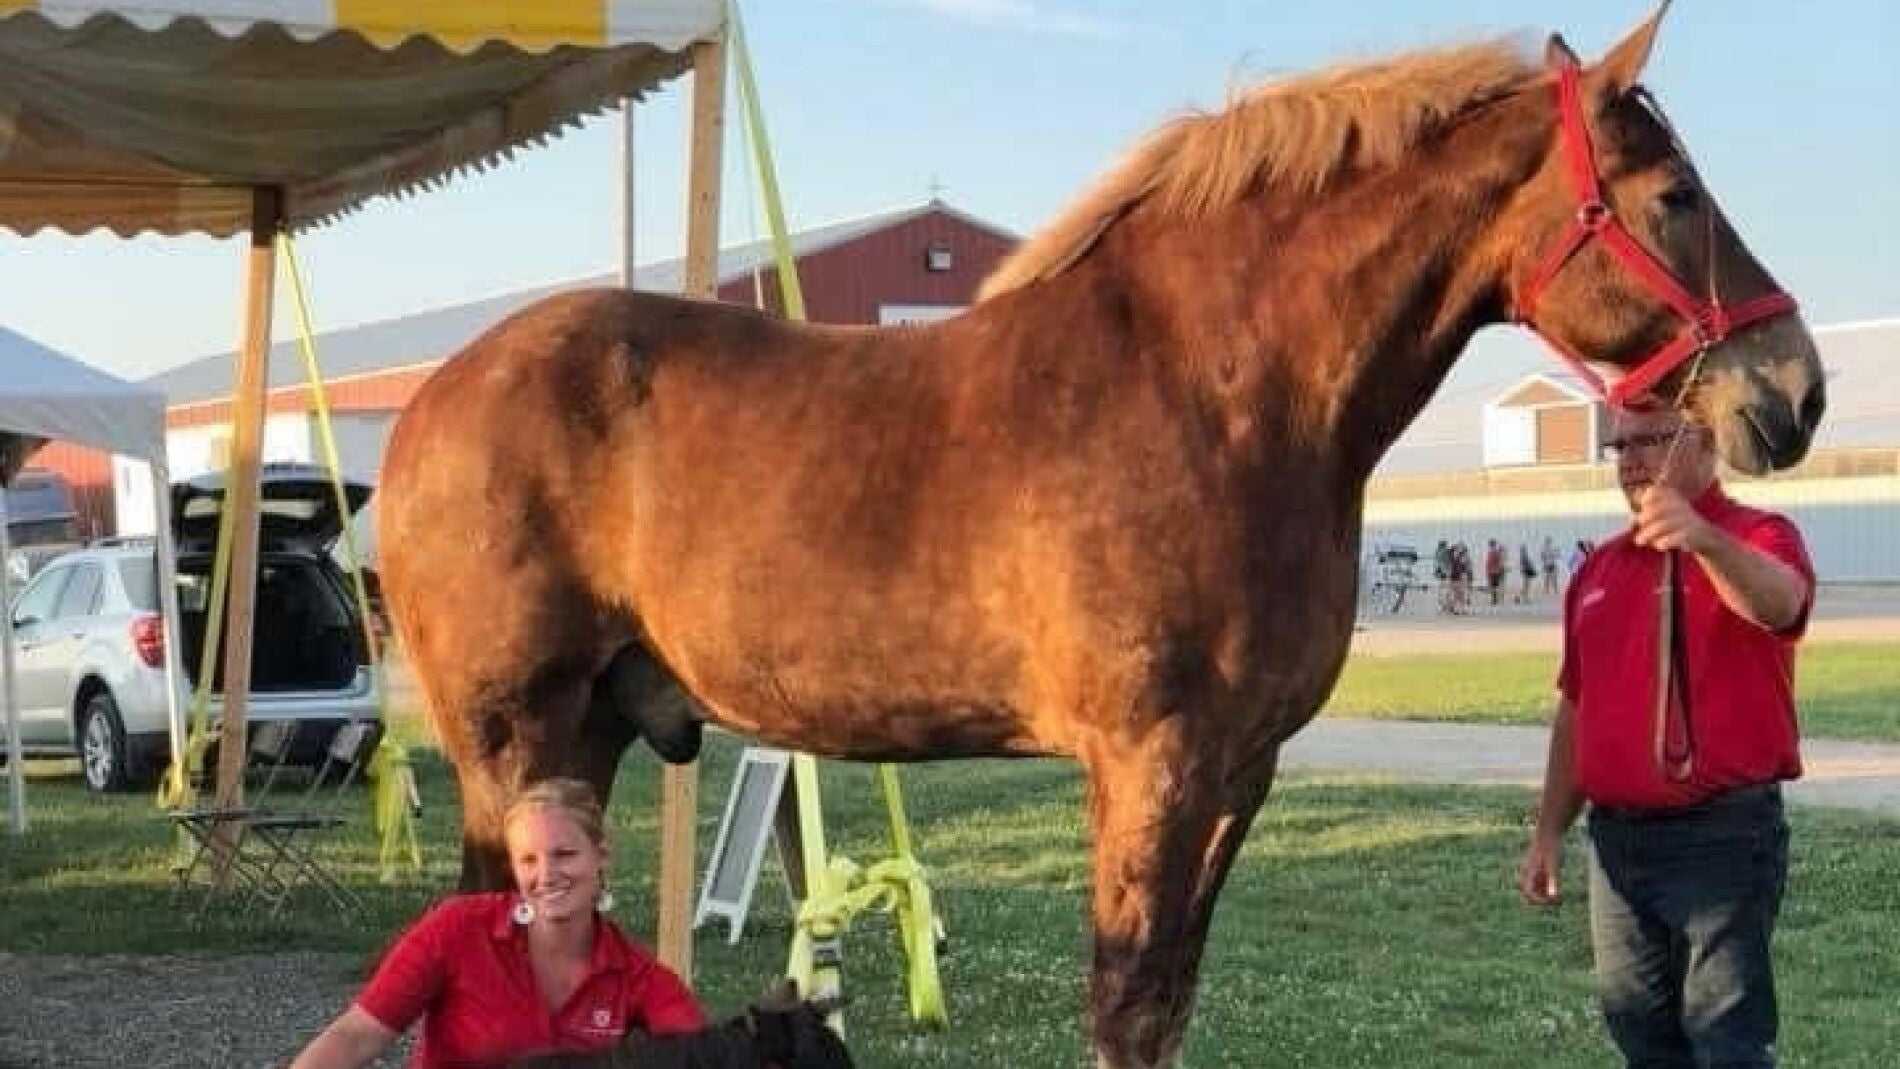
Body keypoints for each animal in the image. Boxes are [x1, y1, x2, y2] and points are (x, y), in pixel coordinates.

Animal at [379, 11, 1824, 1068]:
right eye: (1674, 194)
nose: (1794, 393)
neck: (1215, 389)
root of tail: (430, 406)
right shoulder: (1151, 762)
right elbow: (1124, 1003)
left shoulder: (1237, 769)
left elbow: (1166, 1000)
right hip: (509, 739)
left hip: (585, 733)